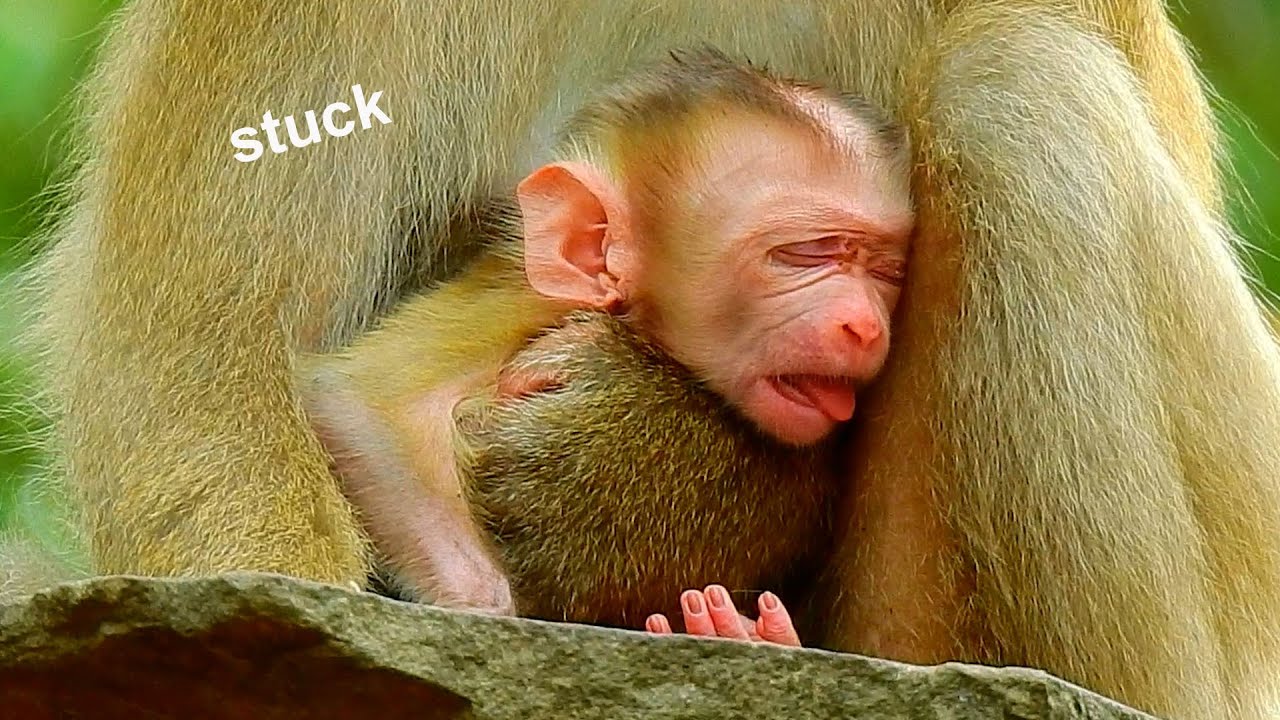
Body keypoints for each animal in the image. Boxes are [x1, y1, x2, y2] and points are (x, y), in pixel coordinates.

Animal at [297, 48, 913, 622]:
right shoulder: (519, 306)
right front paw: (484, 602)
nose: (862, 324)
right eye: (804, 253)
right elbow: (355, 404)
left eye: (888, 271)